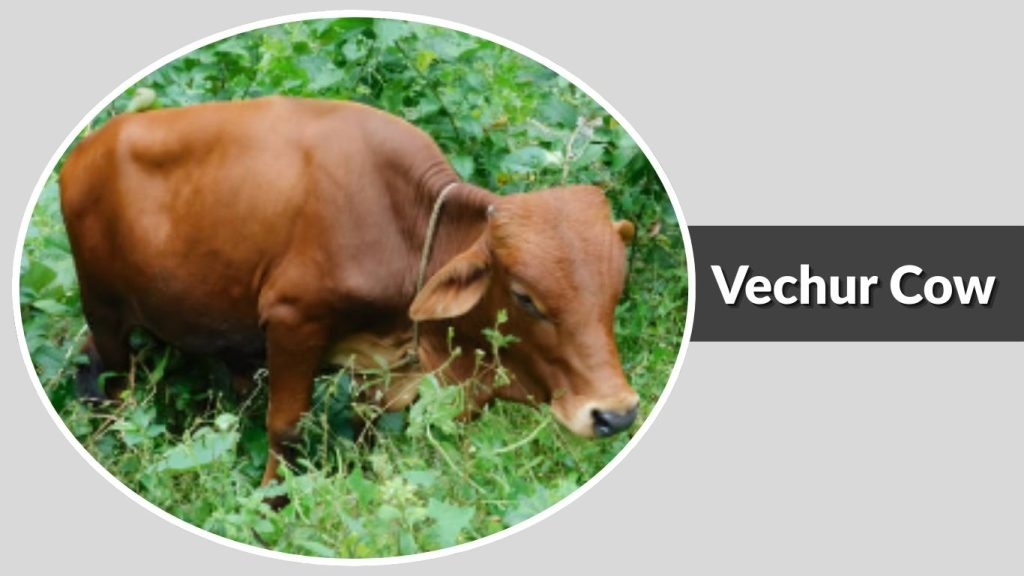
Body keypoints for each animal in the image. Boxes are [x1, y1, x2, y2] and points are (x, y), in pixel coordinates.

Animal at [58, 96, 640, 488]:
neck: (403, 225)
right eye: (525, 298)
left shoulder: (383, 364)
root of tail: (87, 149)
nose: (615, 414)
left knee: (89, 362)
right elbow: (285, 429)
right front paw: (272, 505)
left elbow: (369, 429)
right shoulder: (293, 322)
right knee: (114, 381)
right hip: (105, 306)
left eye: (614, 293)